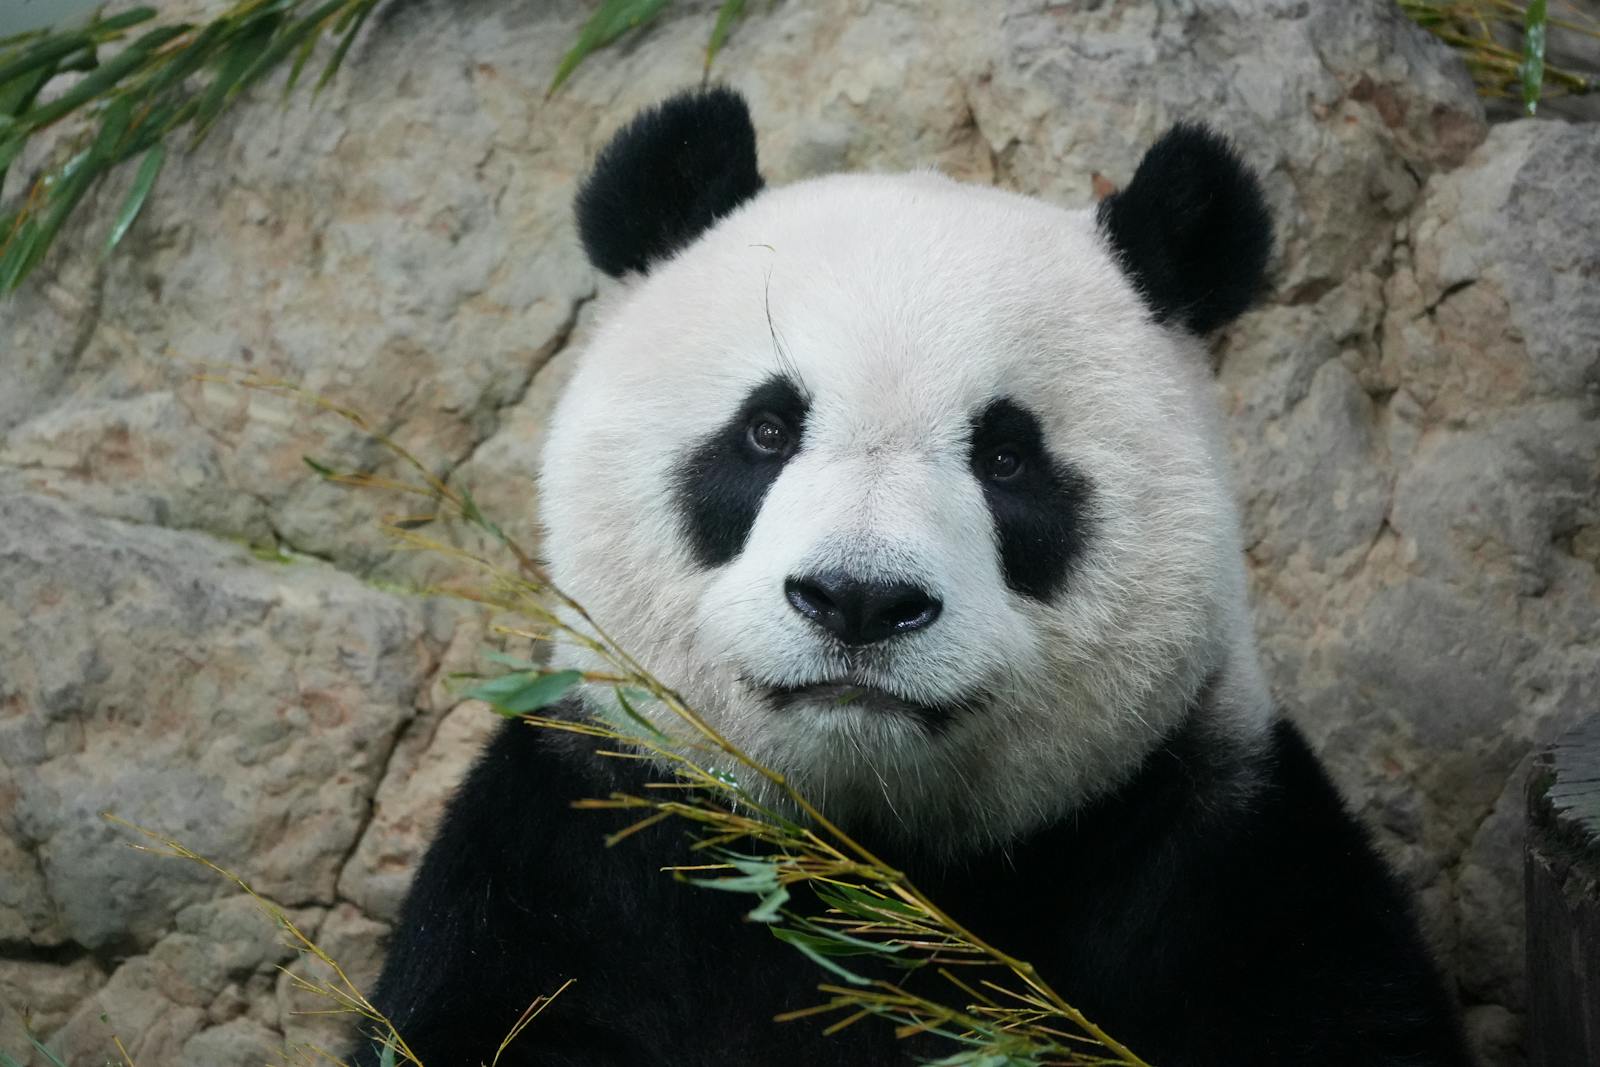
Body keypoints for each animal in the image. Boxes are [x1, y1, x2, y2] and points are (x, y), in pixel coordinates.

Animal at [351, 89, 1473, 1067]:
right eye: (766, 429)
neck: (875, 856)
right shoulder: (574, 858)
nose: (859, 599)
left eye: (1007, 457)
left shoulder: (1223, 867)